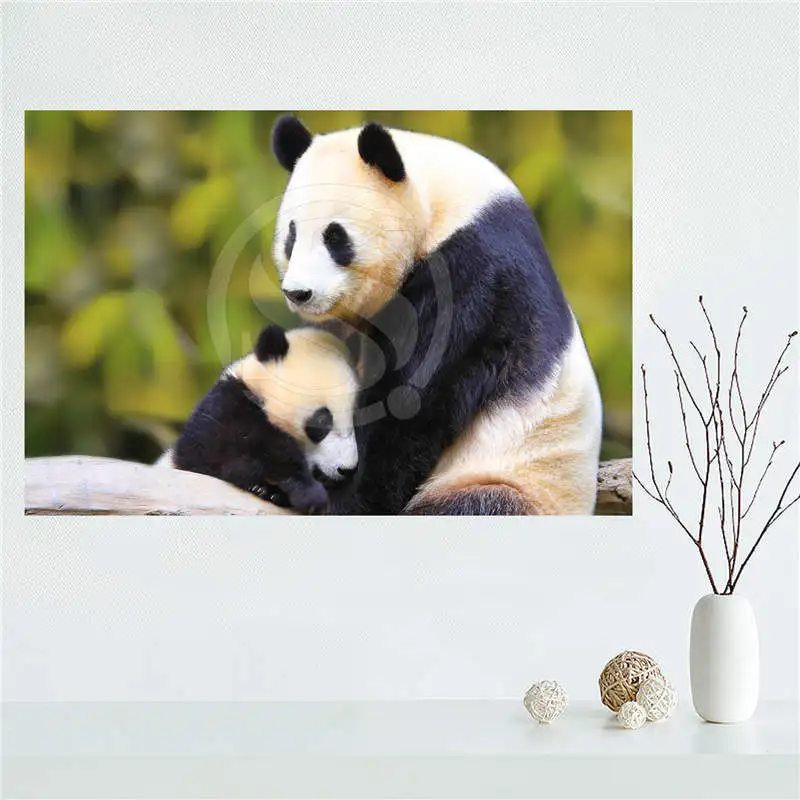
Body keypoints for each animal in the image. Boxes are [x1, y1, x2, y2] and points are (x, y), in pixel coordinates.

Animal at [158, 324, 359, 514]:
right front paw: (307, 492)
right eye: (322, 421)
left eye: (355, 420)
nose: (347, 469)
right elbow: (228, 453)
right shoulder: (224, 409)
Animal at [270, 115, 603, 515]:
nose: (298, 293)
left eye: (335, 237)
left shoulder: (472, 273)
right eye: (291, 236)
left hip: (512, 484)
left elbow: (412, 403)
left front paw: (341, 499)